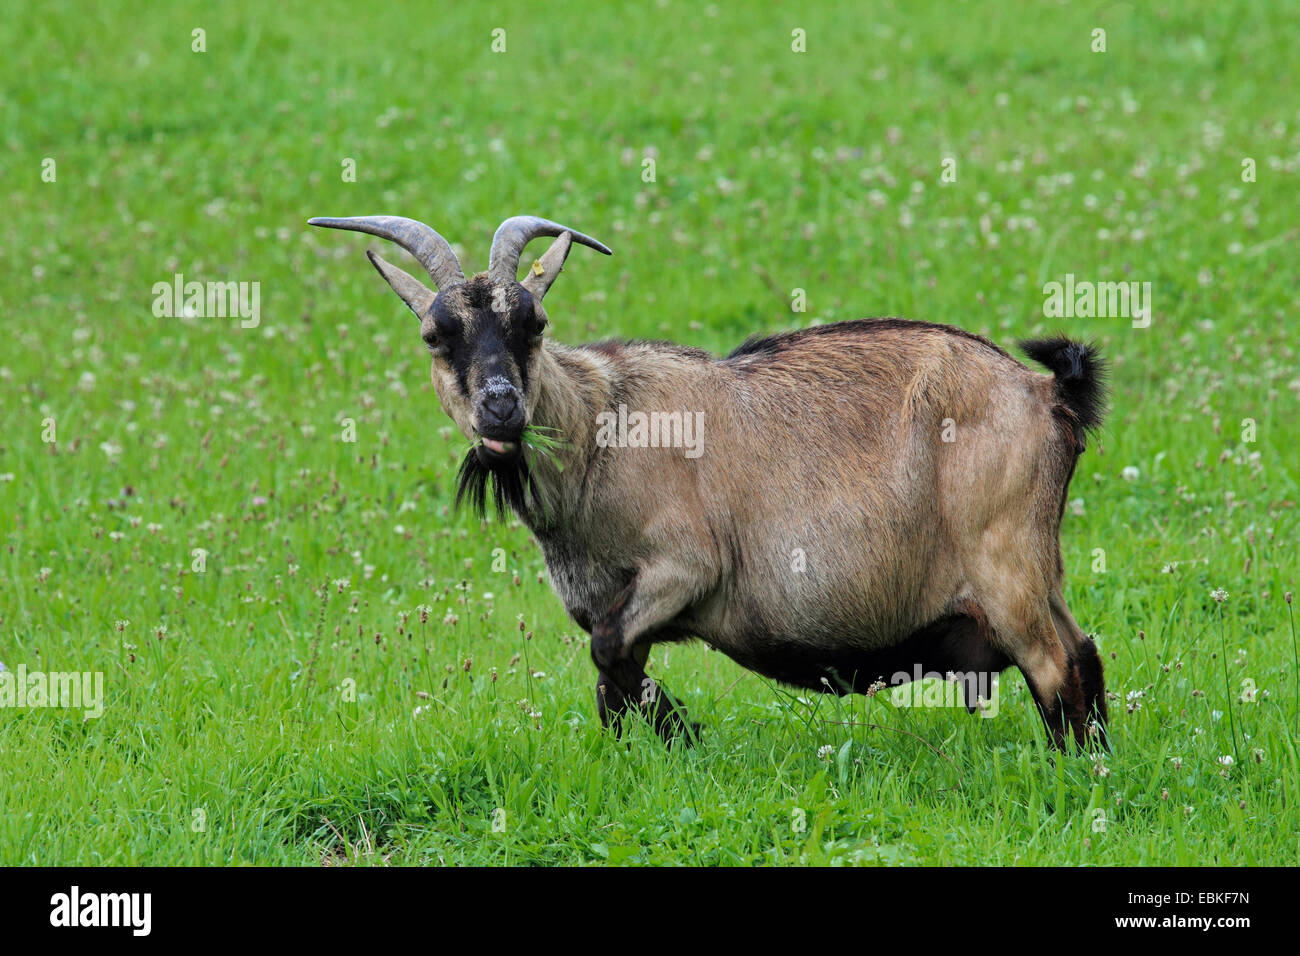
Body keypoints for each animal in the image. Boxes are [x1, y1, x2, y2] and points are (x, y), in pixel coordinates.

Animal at [308, 213, 1109, 751]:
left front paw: (680, 733)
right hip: (1036, 572)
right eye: (435, 335)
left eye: (533, 323)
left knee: (1055, 667)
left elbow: (610, 654)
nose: (500, 405)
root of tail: (1049, 395)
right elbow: (614, 676)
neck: (601, 425)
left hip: (1004, 566)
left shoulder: (685, 565)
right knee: (1085, 653)